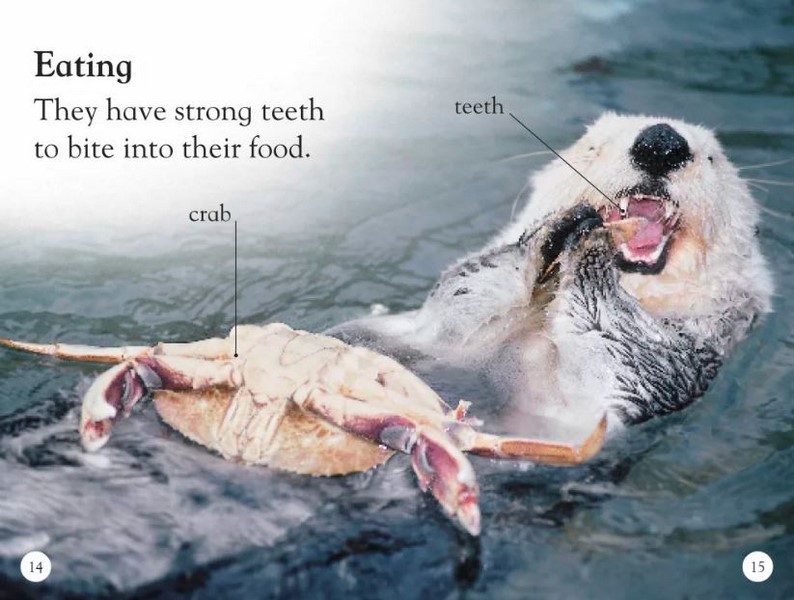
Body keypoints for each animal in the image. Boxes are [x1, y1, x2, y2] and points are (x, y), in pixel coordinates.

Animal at [330, 114, 773, 433]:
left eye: (713, 158)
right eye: (594, 145)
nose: (661, 142)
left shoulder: (665, 363)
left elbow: (610, 349)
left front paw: (593, 251)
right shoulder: (439, 327)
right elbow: (464, 286)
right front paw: (557, 227)